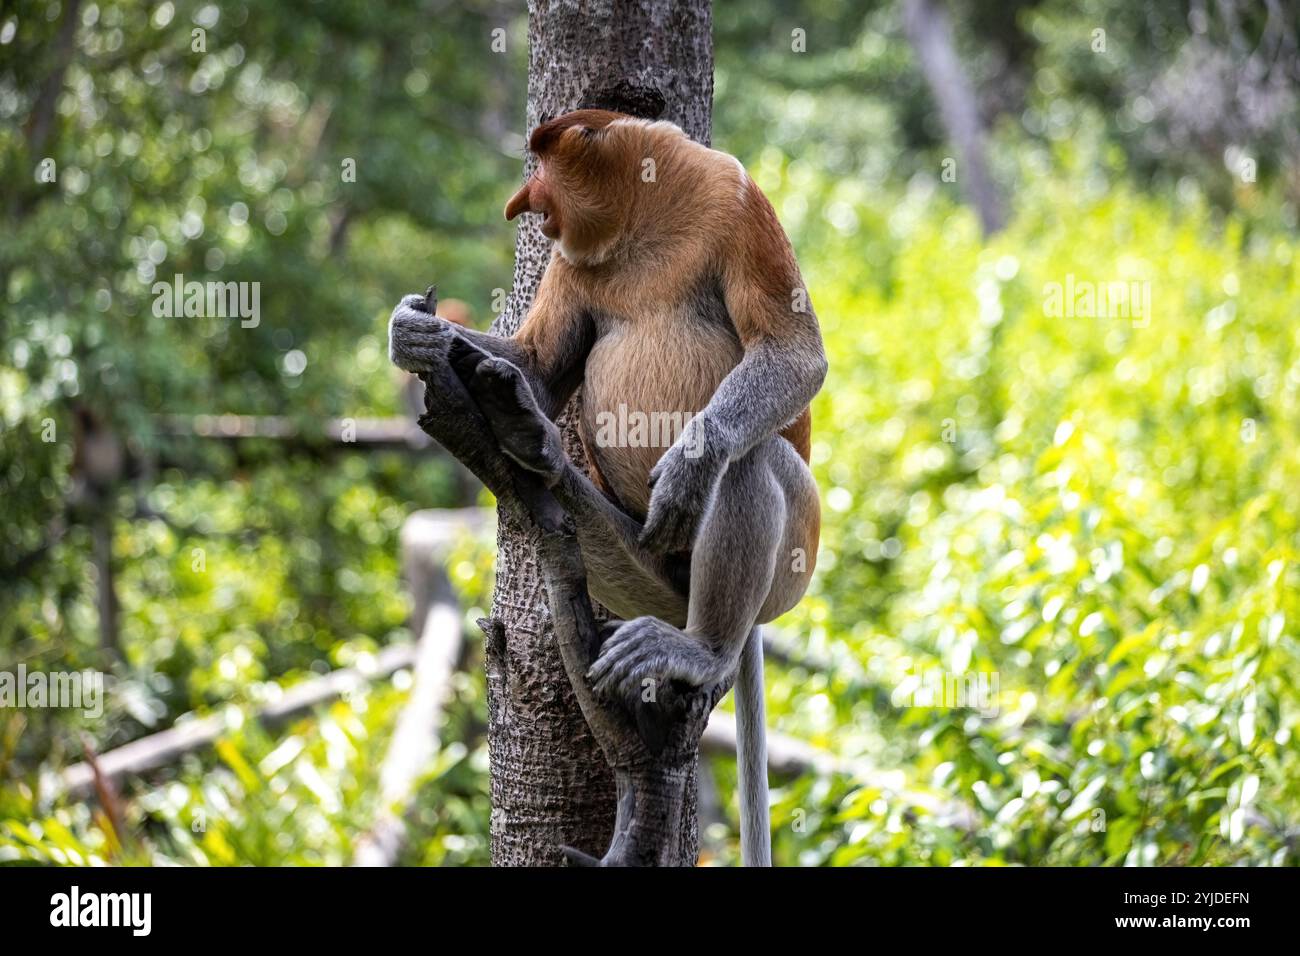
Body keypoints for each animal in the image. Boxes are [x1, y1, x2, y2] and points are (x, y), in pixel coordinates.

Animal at [389, 109, 826, 866]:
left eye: (542, 164)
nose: (519, 203)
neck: (644, 218)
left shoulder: (737, 201)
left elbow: (792, 349)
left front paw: (689, 463)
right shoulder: (572, 261)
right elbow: (539, 363)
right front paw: (415, 333)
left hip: (797, 558)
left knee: (750, 461)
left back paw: (701, 649)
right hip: (644, 570)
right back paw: (526, 437)